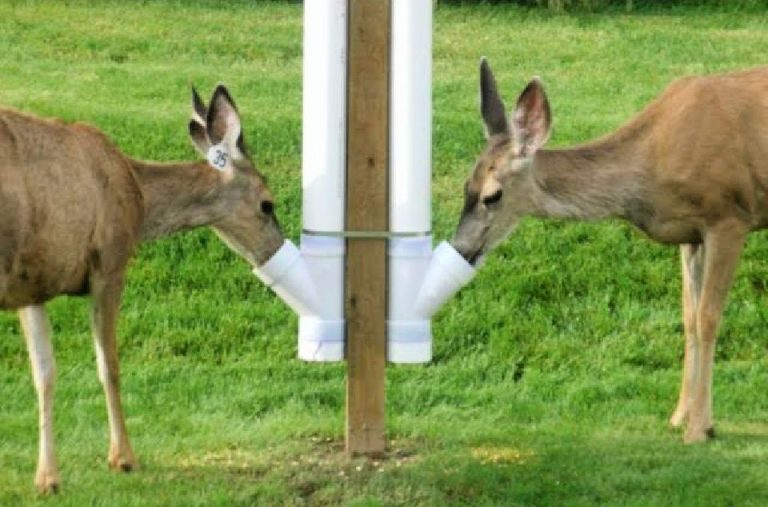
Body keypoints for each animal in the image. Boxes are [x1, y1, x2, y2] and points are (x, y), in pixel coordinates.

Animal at [0, 85, 283, 493]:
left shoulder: (33, 284)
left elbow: (44, 374)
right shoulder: (109, 263)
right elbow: (110, 365)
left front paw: (47, 478)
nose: (276, 248)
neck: (138, 194)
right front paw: (123, 458)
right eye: (267, 204)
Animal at [452, 58, 768, 444]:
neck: (650, 169)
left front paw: (698, 429)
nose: (460, 248)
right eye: (465, 187)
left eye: (492, 195)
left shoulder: (728, 217)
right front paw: (680, 416)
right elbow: (689, 317)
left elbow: (708, 318)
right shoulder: (689, 234)